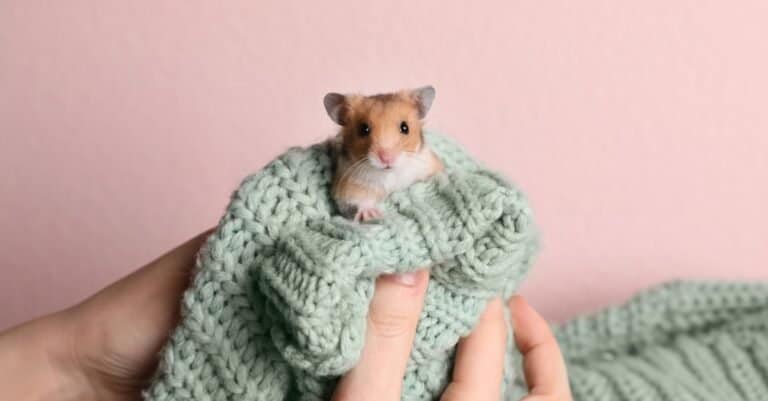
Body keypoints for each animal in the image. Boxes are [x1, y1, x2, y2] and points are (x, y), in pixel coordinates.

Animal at [323, 86, 444, 222]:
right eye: (364, 129)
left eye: (405, 127)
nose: (387, 159)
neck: (390, 173)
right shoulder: (348, 184)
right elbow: (356, 200)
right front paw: (371, 214)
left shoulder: (428, 164)